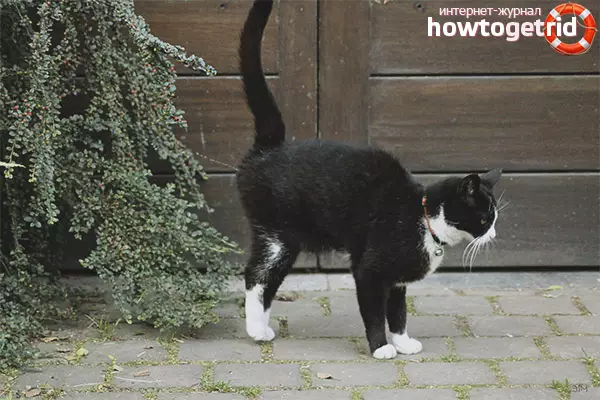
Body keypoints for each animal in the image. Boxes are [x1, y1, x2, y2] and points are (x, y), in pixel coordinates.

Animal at [237, 0, 500, 360]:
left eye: (495, 218)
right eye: (485, 218)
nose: (494, 234)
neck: (422, 218)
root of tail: (270, 148)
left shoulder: (398, 280)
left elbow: (398, 312)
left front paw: (403, 342)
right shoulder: (370, 271)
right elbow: (375, 312)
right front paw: (381, 347)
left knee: (268, 280)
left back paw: (262, 329)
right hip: (278, 235)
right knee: (256, 275)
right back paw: (254, 329)